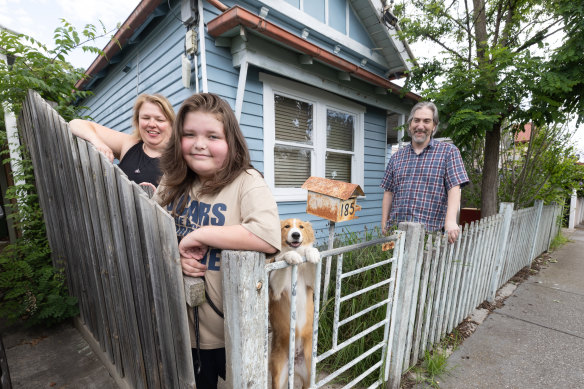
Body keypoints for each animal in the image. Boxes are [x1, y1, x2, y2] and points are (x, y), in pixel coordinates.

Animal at [270, 218, 320, 388]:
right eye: (286, 227)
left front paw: (312, 253)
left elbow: (310, 258)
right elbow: (282, 258)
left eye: (301, 227)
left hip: (310, 375)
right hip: (279, 375)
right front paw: (290, 256)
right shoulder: (276, 290)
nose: (296, 235)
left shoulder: (312, 283)